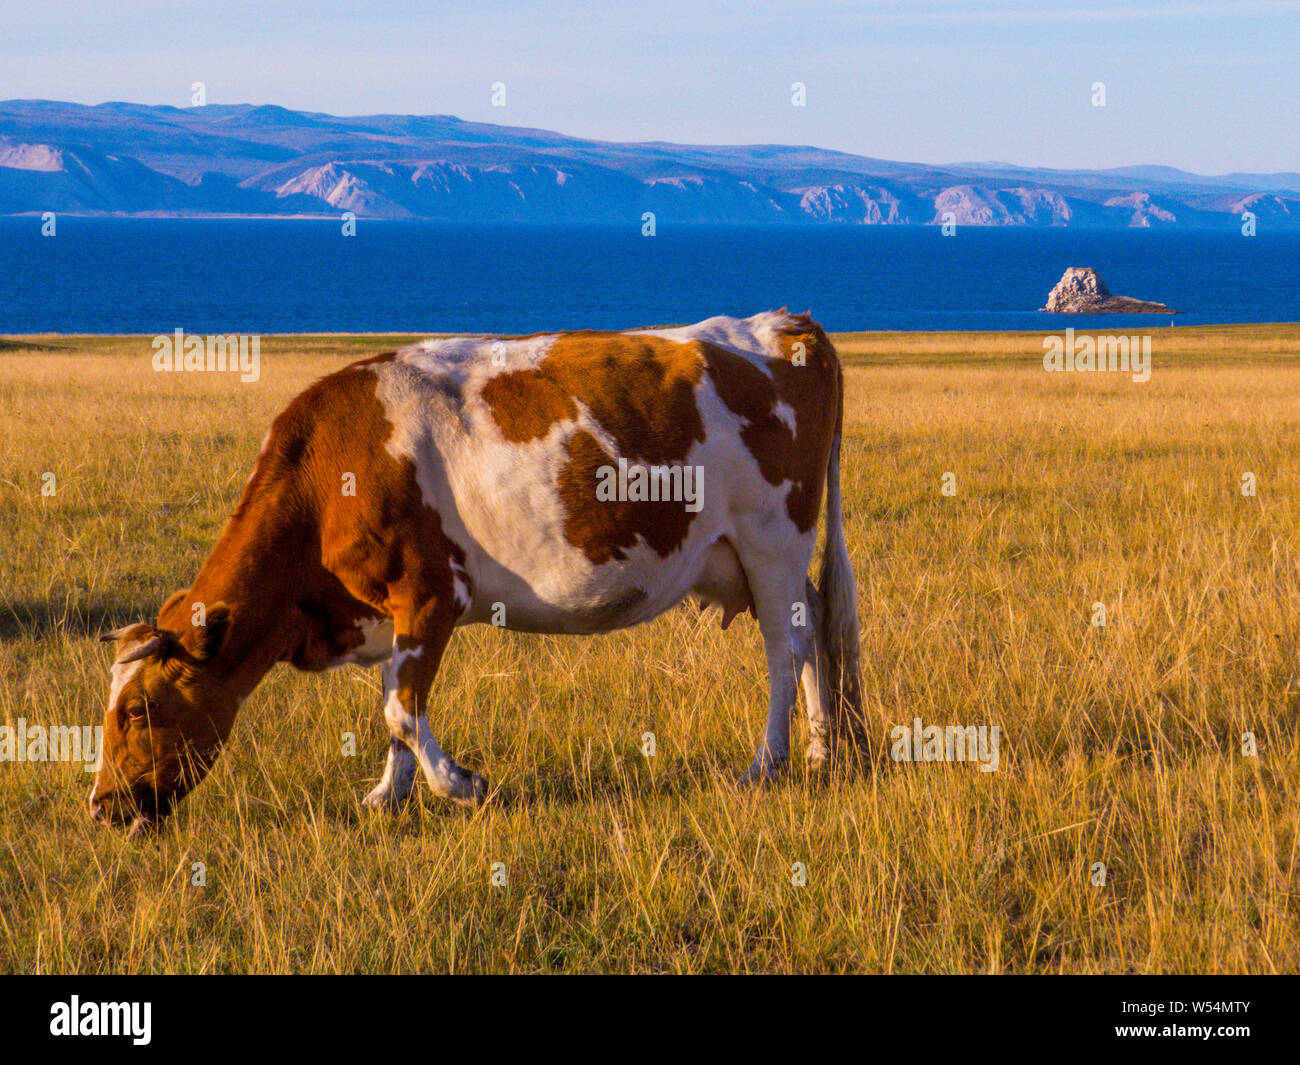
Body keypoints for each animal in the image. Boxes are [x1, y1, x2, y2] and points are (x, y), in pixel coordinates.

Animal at [90, 310, 865, 836]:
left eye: (138, 709)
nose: (101, 806)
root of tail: (788, 324)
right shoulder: (395, 612)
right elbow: (394, 708)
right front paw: (388, 794)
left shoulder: (430, 592)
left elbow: (401, 708)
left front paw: (460, 786)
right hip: (762, 559)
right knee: (813, 634)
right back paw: (822, 751)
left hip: (773, 537)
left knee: (784, 650)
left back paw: (767, 763)